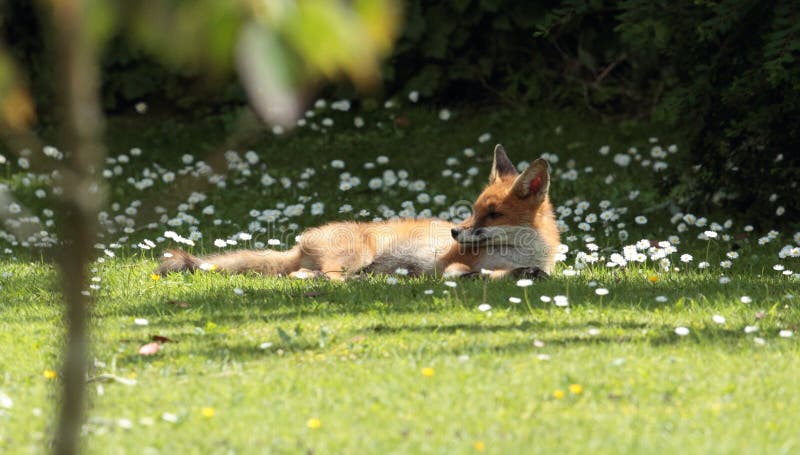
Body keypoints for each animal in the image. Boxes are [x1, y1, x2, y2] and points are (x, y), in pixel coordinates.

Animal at [157, 144, 560, 281]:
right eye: (473, 212)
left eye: (492, 214)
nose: (454, 233)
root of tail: (302, 240)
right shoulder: (452, 265)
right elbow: (480, 274)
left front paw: (528, 273)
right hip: (356, 257)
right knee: (321, 277)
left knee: (305, 276)